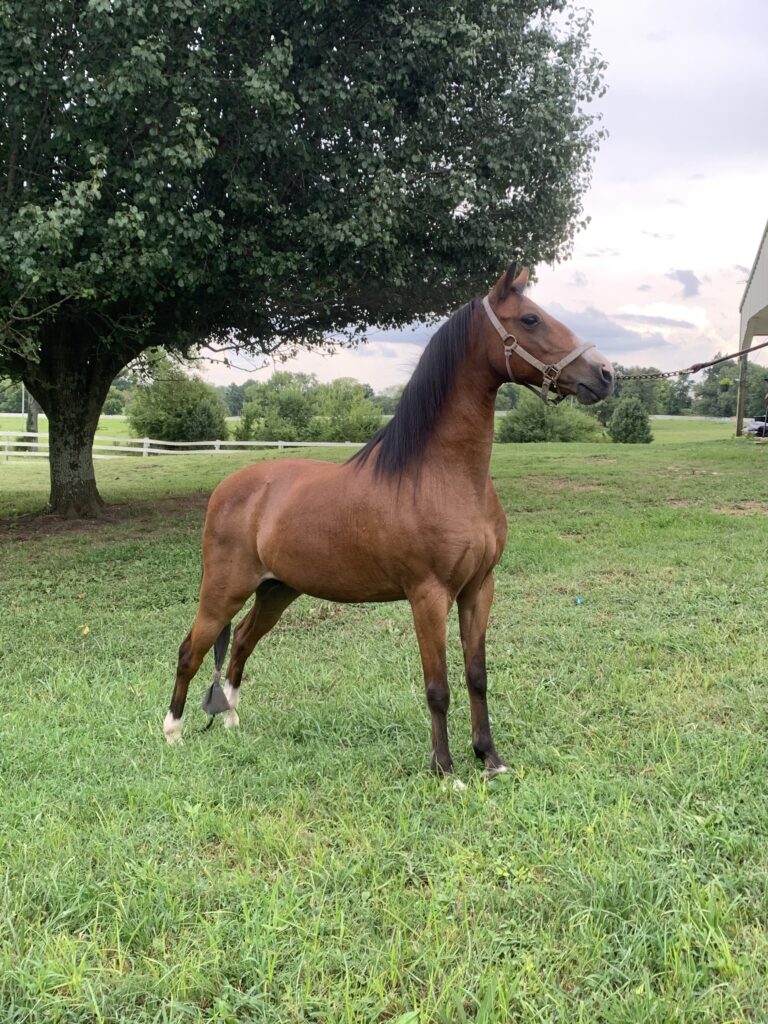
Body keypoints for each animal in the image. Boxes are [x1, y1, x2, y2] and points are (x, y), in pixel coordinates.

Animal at [163, 264, 614, 781]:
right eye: (531, 319)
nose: (605, 374)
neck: (444, 477)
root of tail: (227, 487)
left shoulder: (479, 589)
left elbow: (476, 676)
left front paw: (490, 758)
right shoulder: (428, 596)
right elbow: (437, 687)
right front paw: (446, 772)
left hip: (277, 591)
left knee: (239, 643)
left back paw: (233, 722)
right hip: (224, 591)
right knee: (191, 651)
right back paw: (172, 732)